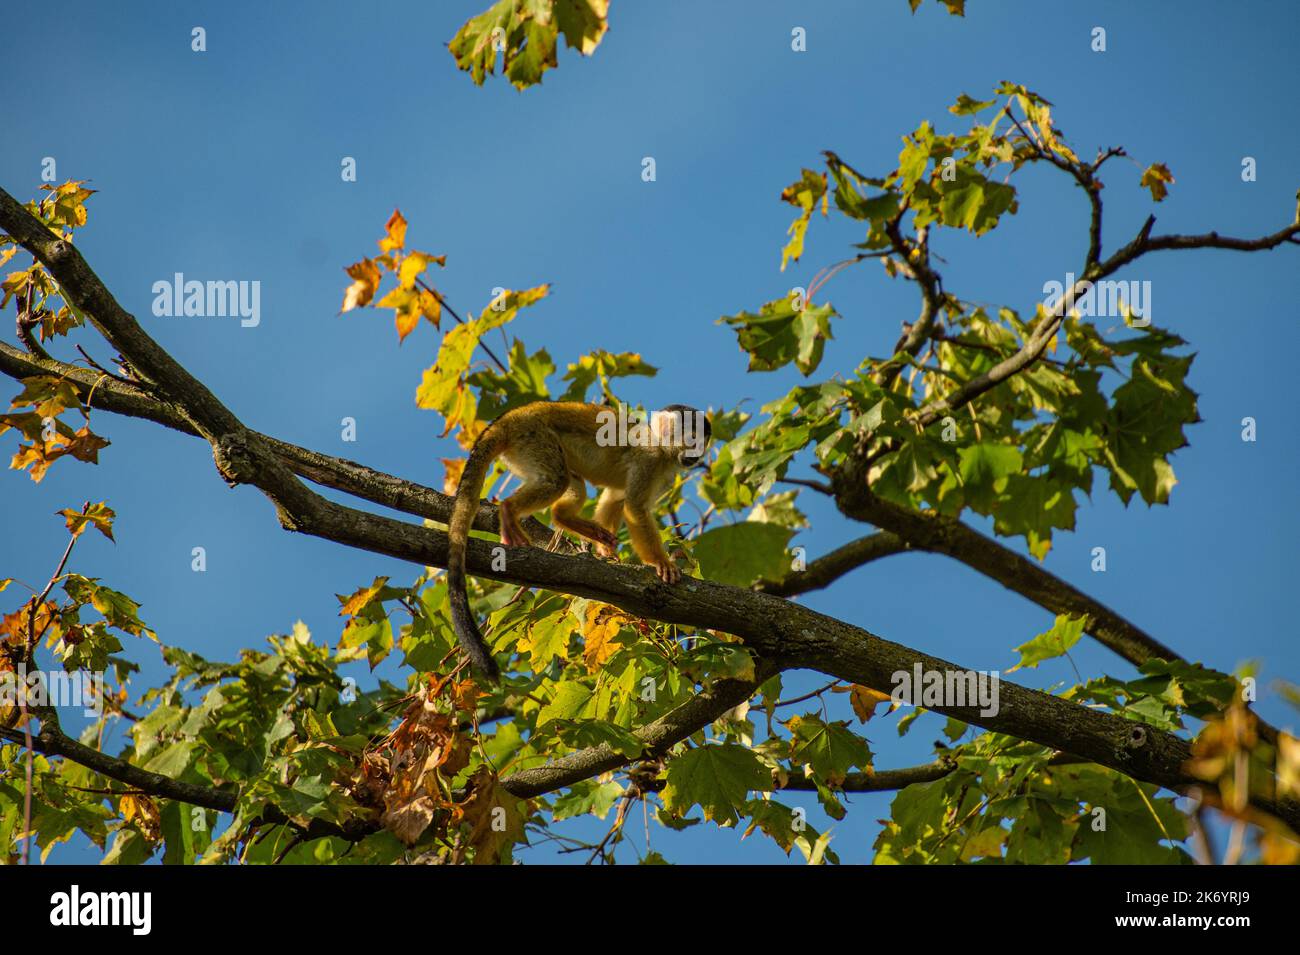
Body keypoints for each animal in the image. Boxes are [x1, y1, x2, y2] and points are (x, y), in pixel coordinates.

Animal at [446, 401, 712, 680]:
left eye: (702, 444)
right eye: (692, 440)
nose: (697, 456)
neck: (662, 449)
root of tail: (510, 417)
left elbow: (616, 497)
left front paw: (606, 551)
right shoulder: (648, 459)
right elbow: (635, 507)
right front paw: (660, 562)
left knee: (570, 482)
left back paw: (568, 520)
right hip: (534, 436)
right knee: (556, 480)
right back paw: (508, 511)